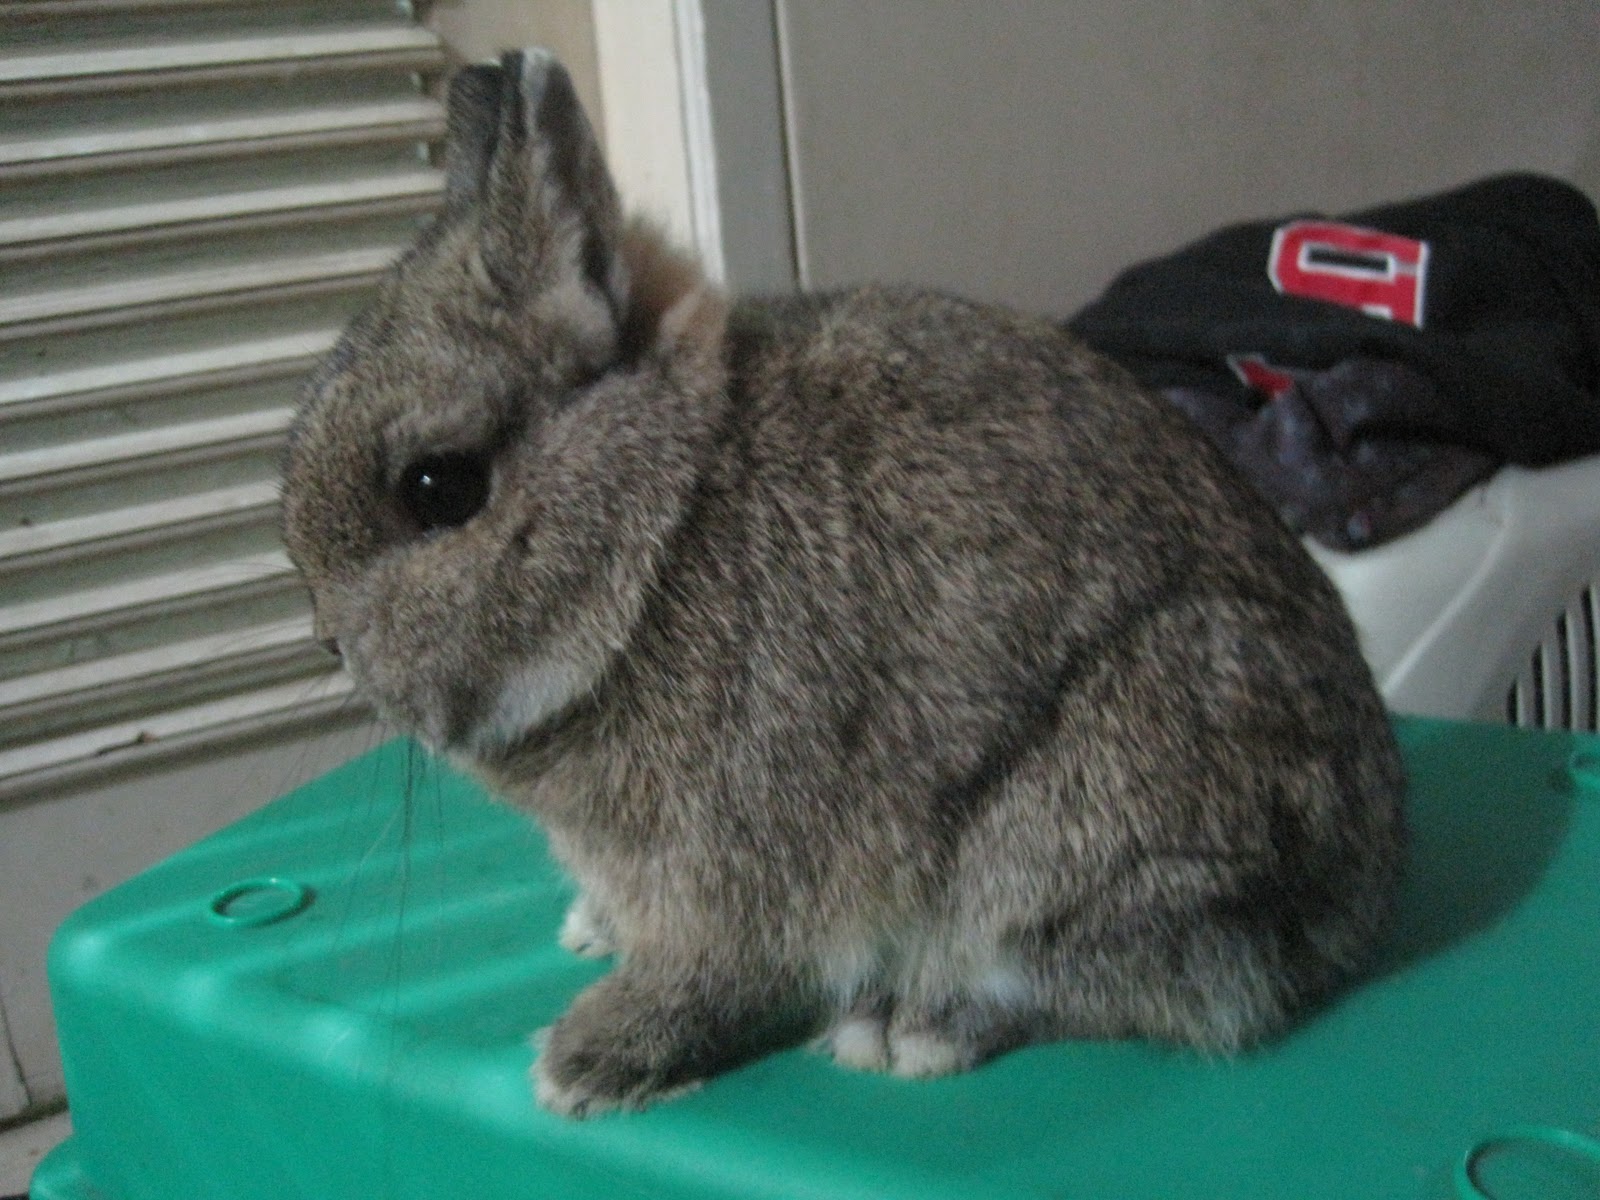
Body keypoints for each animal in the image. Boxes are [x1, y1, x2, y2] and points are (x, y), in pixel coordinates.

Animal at [280, 49, 1406, 1119]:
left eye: (441, 486)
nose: (330, 644)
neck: (661, 540)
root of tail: (1362, 879)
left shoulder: (731, 865)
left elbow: (716, 972)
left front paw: (589, 1059)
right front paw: (589, 943)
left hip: (1104, 809)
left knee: (1132, 978)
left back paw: (913, 1025)